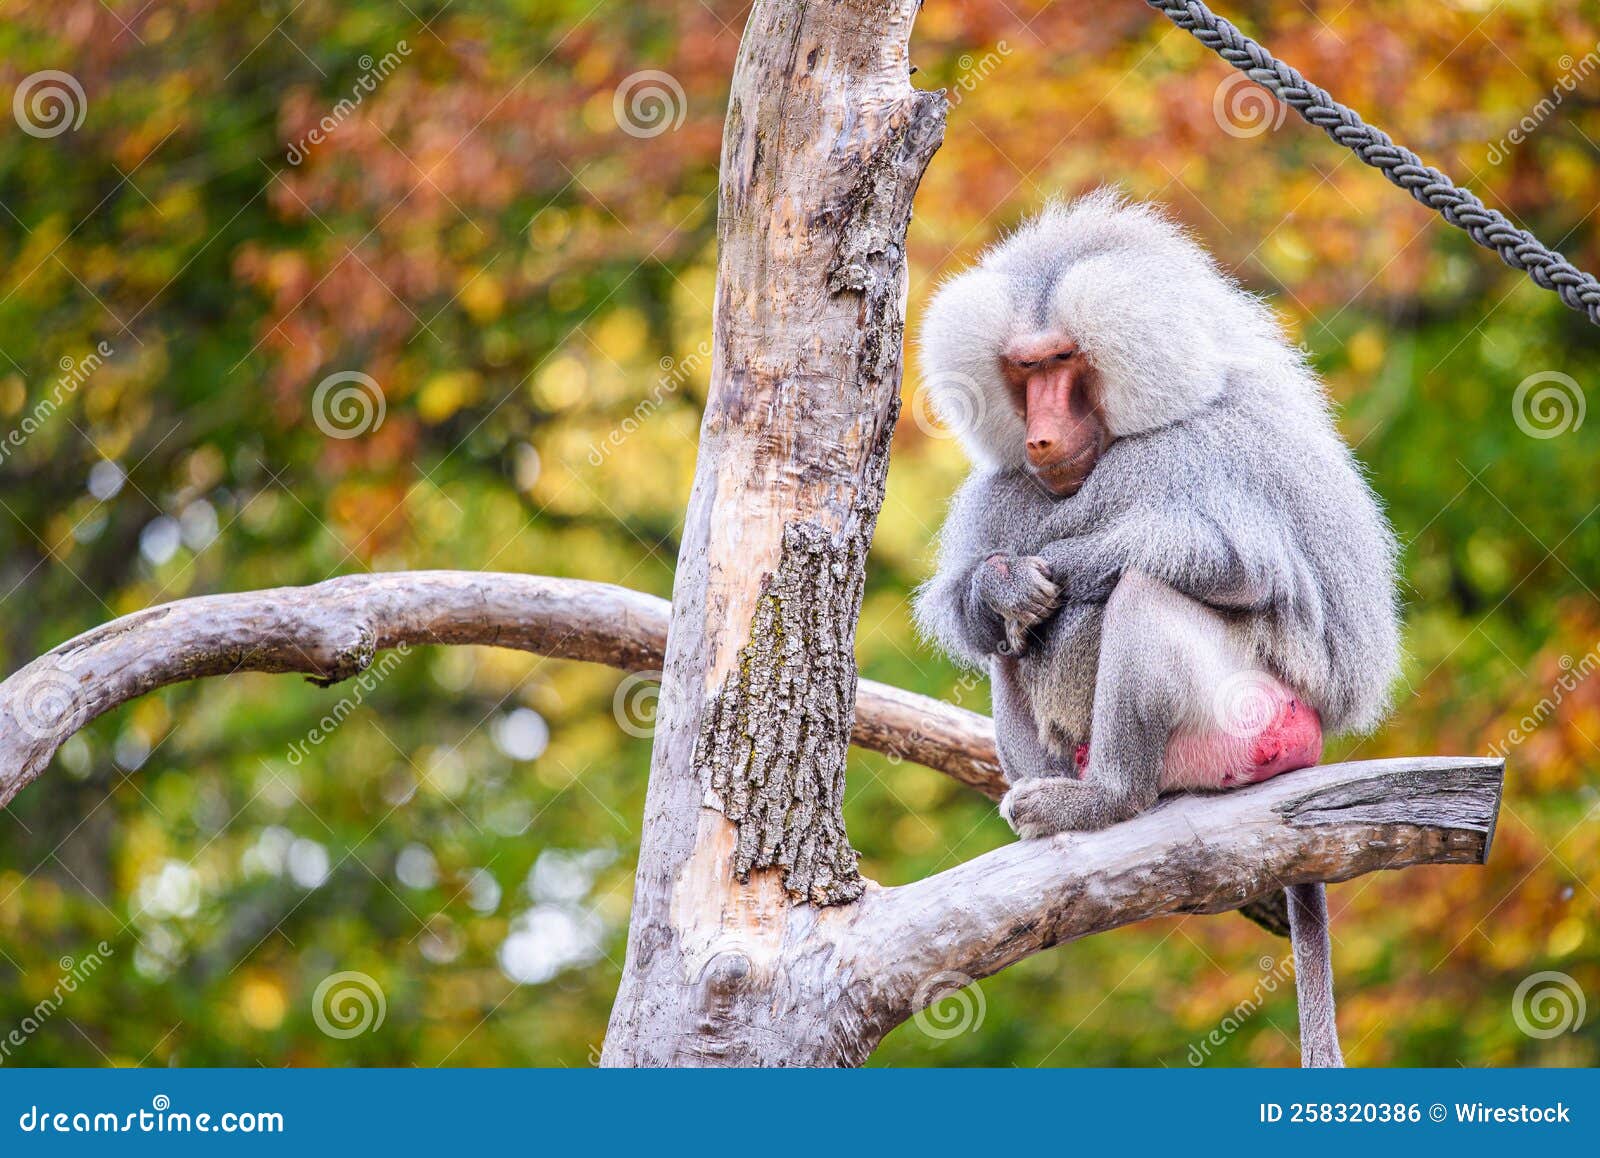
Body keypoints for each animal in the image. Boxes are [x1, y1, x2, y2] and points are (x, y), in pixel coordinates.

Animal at [912, 190, 1400, 1069]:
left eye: (1065, 359)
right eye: (1023, 370)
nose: (1038, 437)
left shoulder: (1207, 449)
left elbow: (1240, 565)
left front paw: (1068, 561)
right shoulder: (1002, 490)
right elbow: (977, 608)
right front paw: (1002, 584)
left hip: (1247, 711)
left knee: (1148, 593)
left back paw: (1106, 800)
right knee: (1007, 647)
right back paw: (1052, 799)